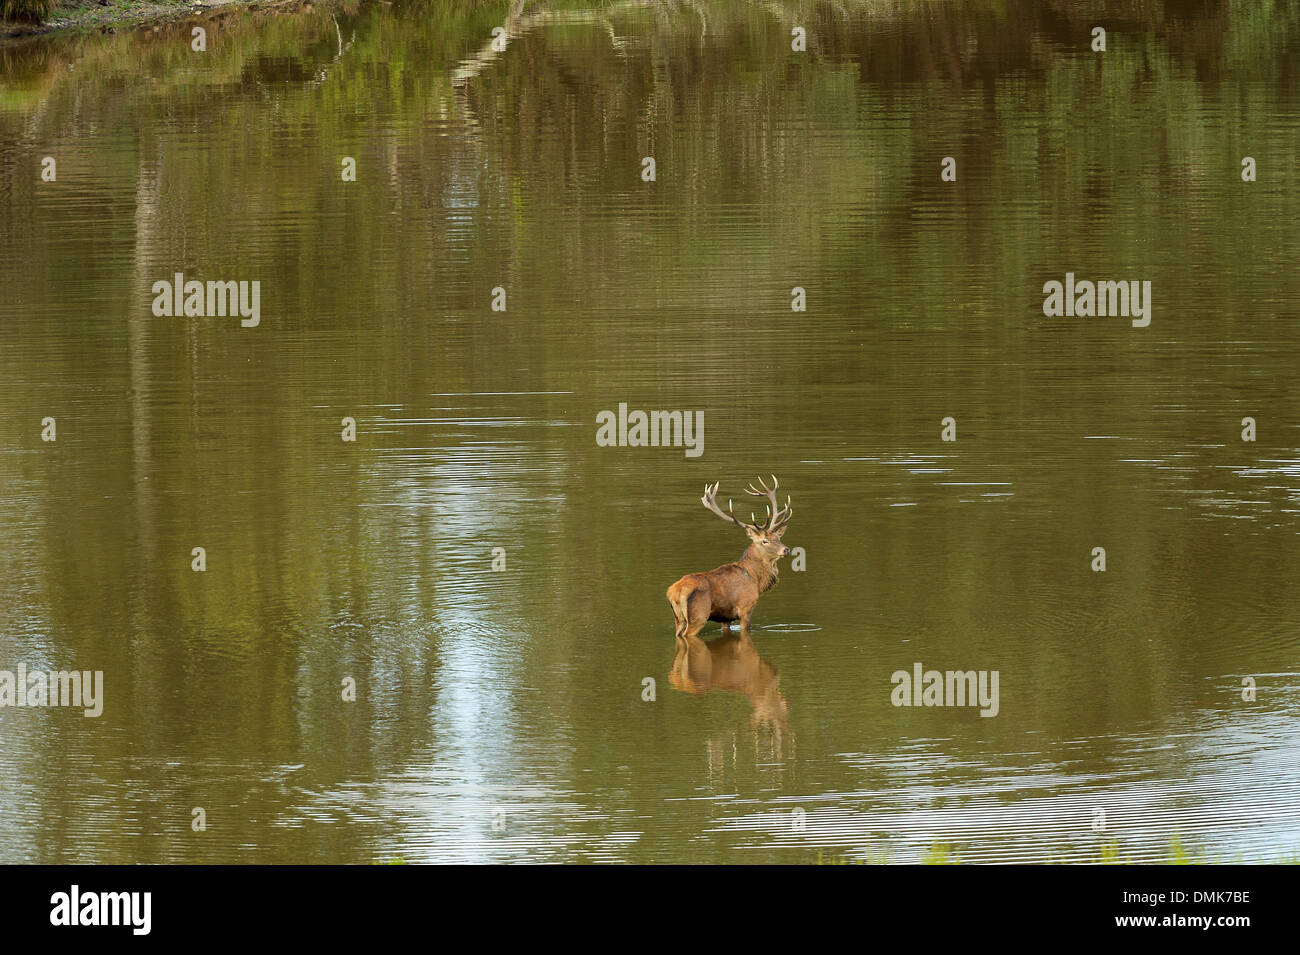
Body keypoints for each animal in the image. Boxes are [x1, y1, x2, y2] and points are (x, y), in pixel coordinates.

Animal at [666, 476, 793, 641]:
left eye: (778, 537)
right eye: (764, 541)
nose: (786, 549)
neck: (756, 580)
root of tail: (675, 592)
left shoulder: (725, 617)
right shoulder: (746, 607)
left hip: (678, 618)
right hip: (698, 615)